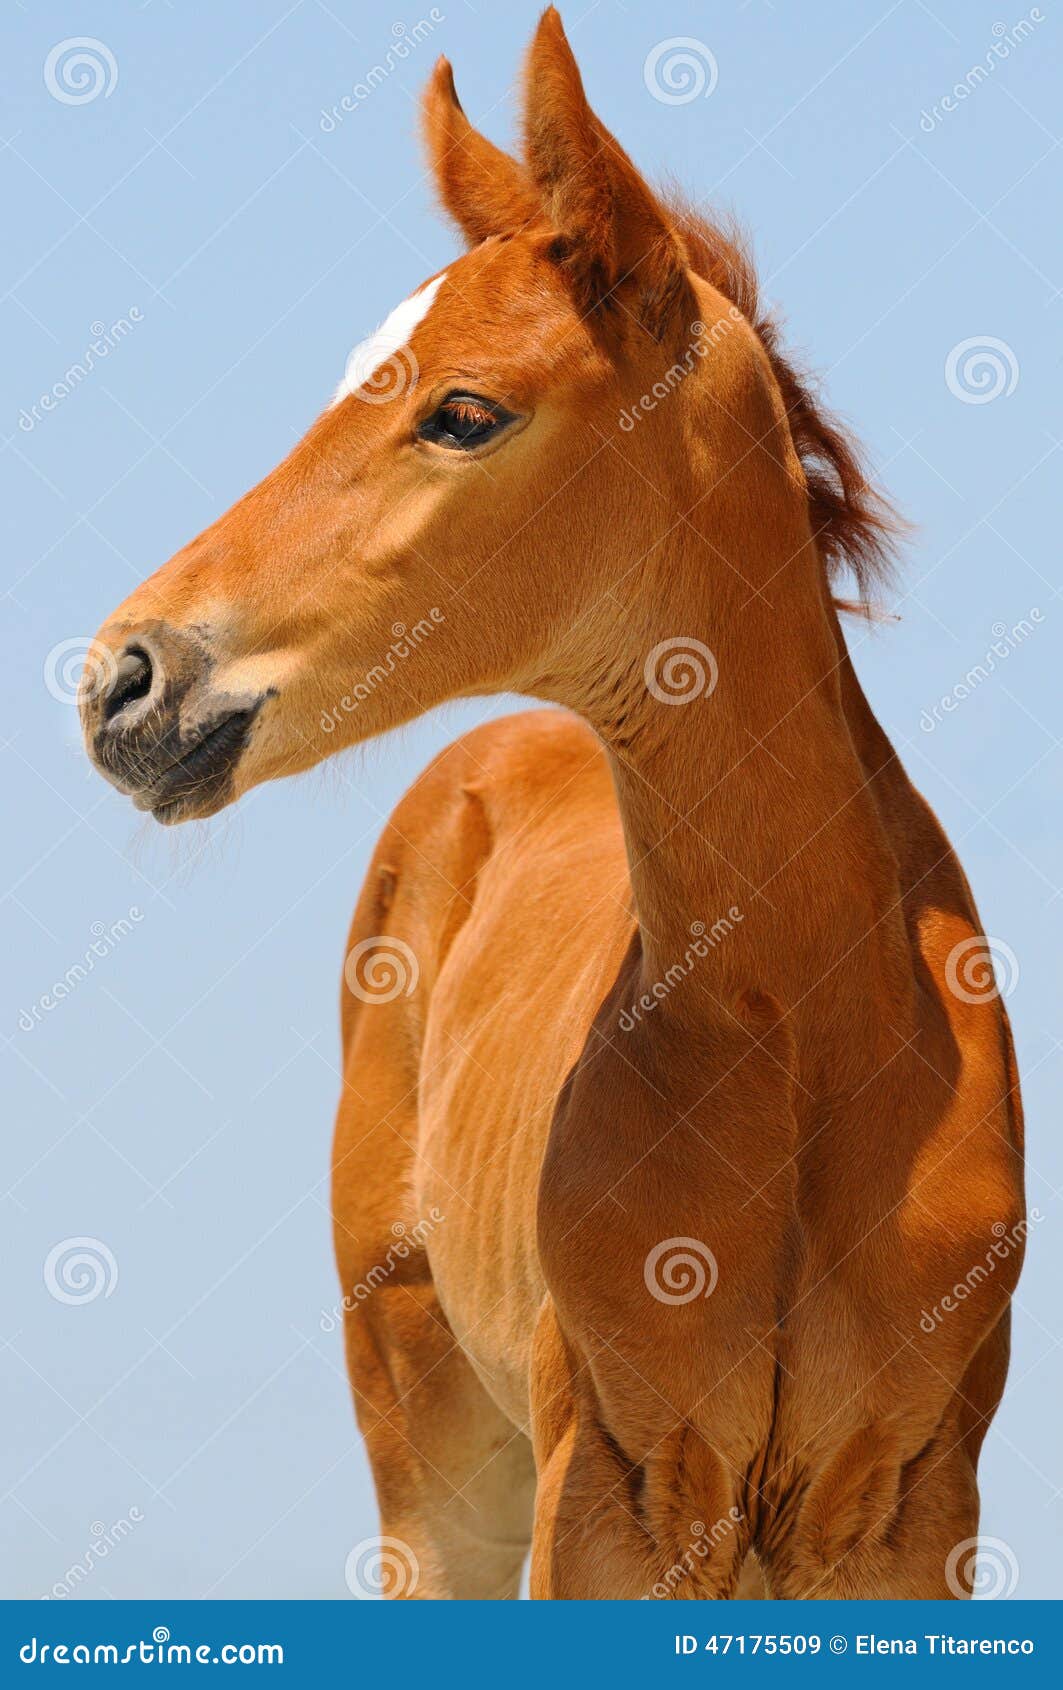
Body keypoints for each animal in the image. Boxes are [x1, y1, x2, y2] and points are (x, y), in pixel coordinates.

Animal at [80, 9, 1025, 1600]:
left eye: (464, 410)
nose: (120, 681)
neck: (809, 1037)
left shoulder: (906, 1521)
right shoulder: (601, 1505)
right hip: (433, 1465)